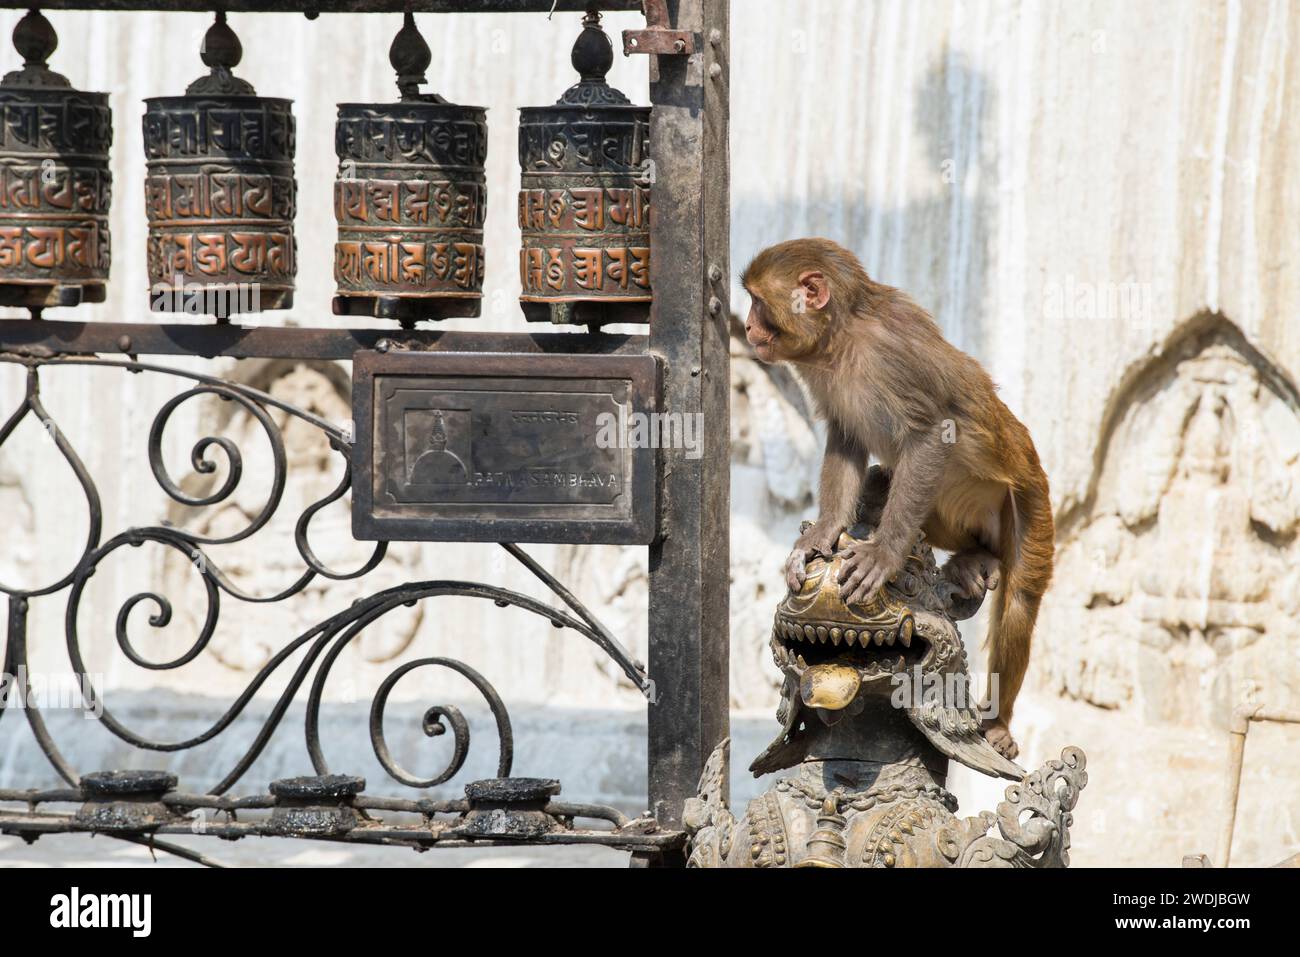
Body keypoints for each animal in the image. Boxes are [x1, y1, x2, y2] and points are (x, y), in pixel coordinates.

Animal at [740, 237, 1054, 759]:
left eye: (758, 303)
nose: (746, 326)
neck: (844, 339)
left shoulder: (890, 358)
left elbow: (930, 434)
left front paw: (882, 557)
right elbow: (846, 440)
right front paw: (822, 534)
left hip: (1030, 497)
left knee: (1021, 598)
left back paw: (998, 723)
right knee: (887, 484)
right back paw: (977, 559)